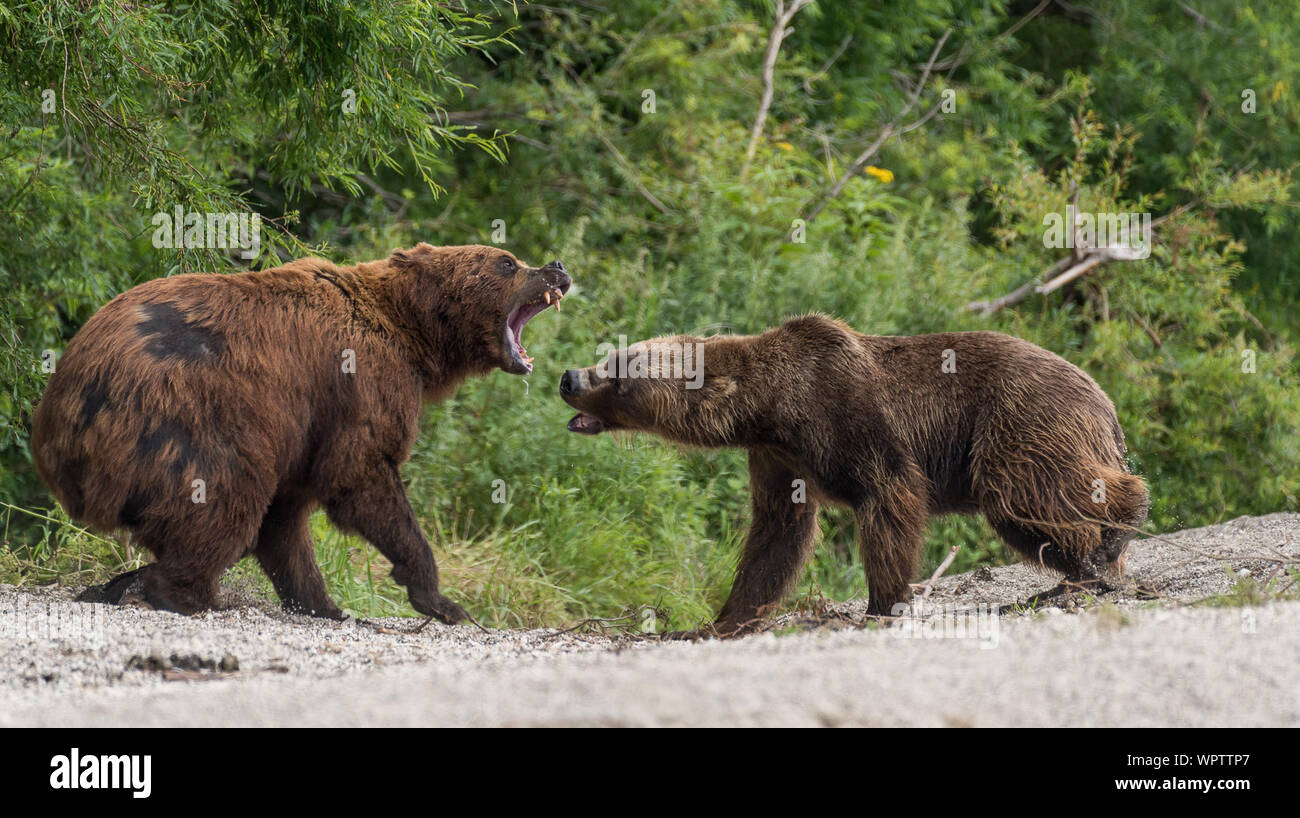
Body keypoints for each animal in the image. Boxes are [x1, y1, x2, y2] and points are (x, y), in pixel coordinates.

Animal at [31, 243, 571, 621]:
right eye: (507, 262)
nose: (557, 266)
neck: (413, 334)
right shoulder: (359, 385)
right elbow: (362, 473)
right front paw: (440, 599)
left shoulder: (303, 431)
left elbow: (287, 521)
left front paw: (323, 604)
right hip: (187, 419)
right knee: (226, 501)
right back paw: (182, 592)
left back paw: (118, 585)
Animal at [559, 314, 1149, 636]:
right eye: (611, 357)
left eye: (619, 373)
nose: (569, 377)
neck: (769, 408)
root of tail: (1103, 398)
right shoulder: (778, 458)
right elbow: (776, 536)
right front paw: (719, 621)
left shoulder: (845, 414)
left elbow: (890, 495)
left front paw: (881, 603)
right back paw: (1082, 569)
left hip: (1016, 416)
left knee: (1028, 490)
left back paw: (1115, 532)